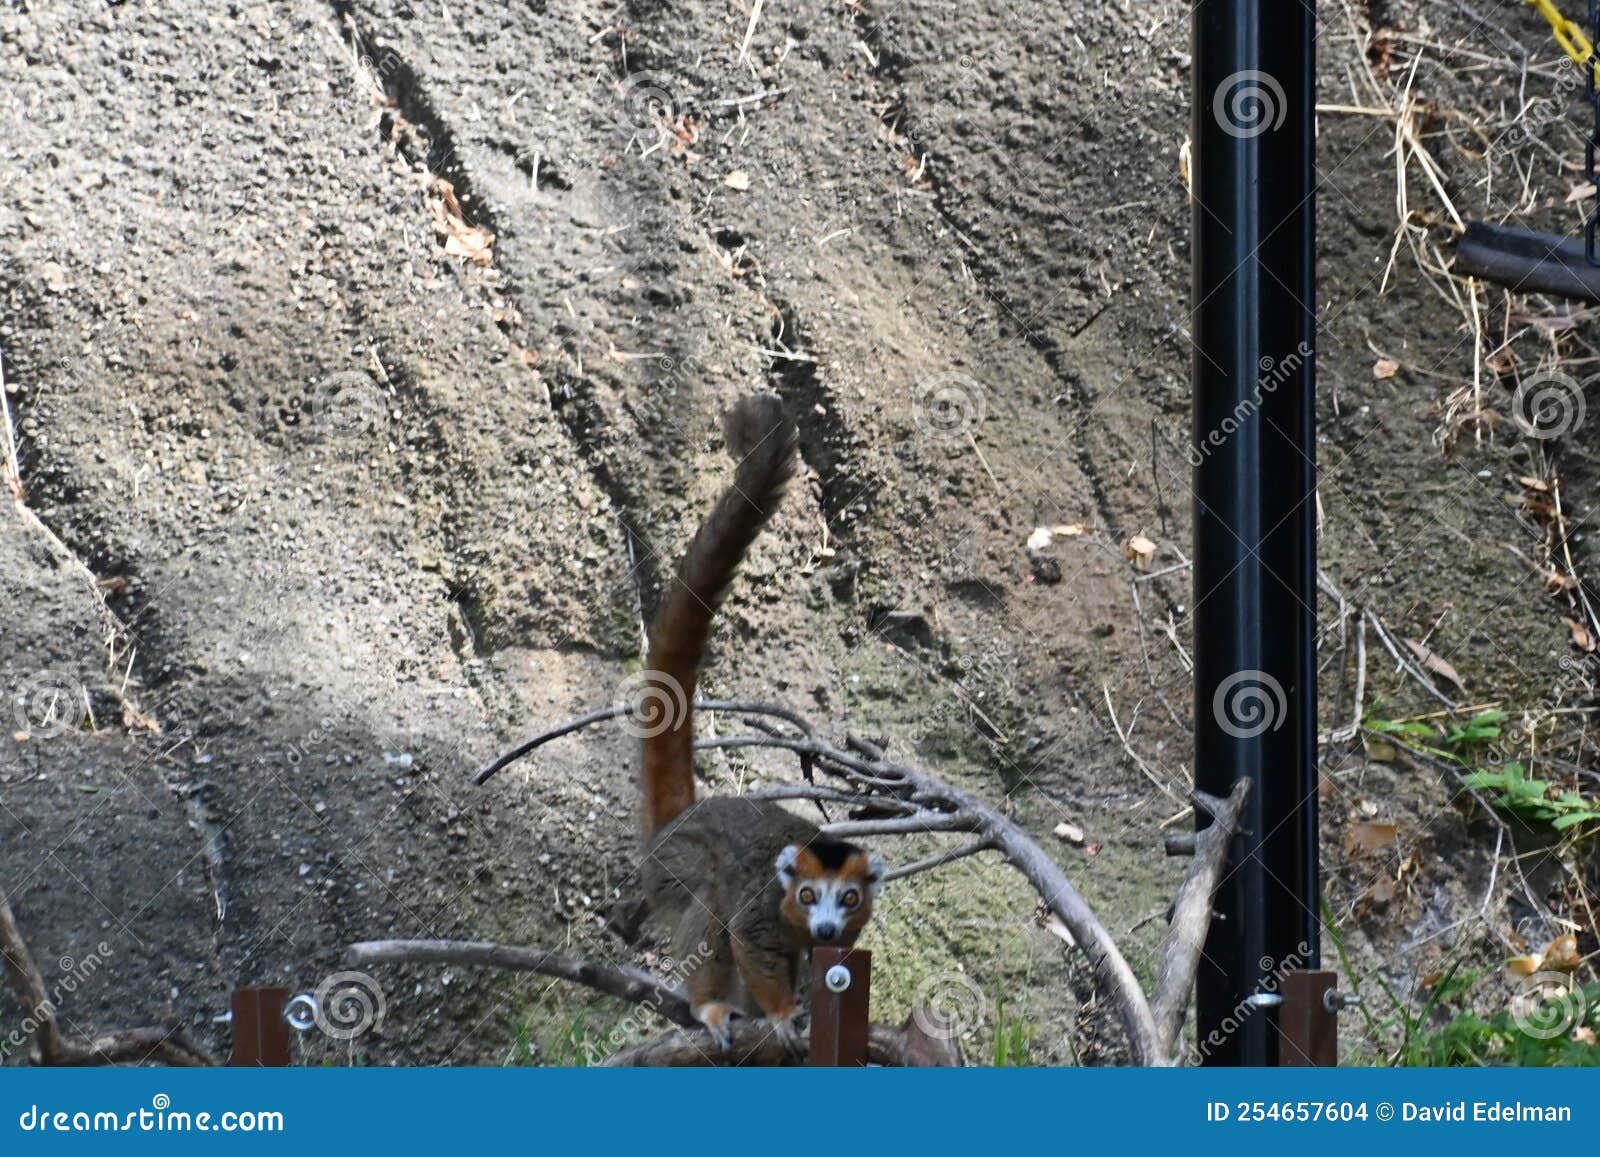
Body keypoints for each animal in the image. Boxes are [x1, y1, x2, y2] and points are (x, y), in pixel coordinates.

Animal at [635, 394, 884, 1052]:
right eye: (808, 896)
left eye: (848, 899)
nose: (825, 926)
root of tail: (681, 822)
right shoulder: (764, 908)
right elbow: (745, 938)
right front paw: (777, 1015)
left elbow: (828, 968)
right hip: (675, 867)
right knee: (707, 905)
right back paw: (710, 1008)